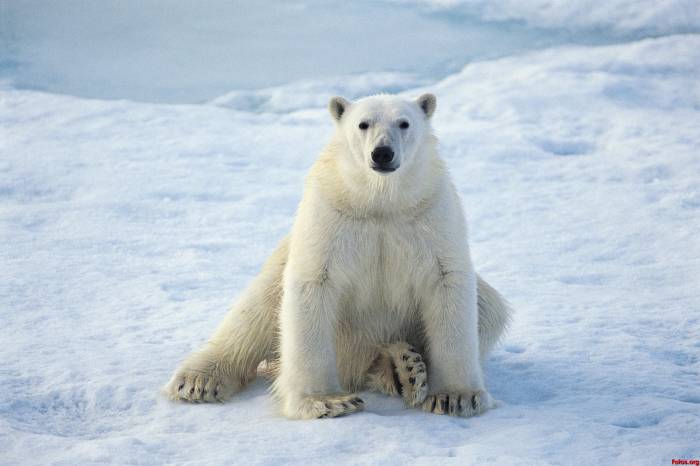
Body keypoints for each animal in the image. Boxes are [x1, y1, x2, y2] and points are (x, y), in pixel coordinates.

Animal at [164, 93, 512, 419]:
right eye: (363, 124)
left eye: (404, 123)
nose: (382, 153)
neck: (379, 202)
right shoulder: (331, 215)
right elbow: (313, 285)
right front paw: (327, 402)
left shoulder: (430, 214)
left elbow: (447, 283)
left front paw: (456, 397)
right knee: (254, 312)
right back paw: (197, 380)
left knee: (490, 308)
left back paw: (403, 368)